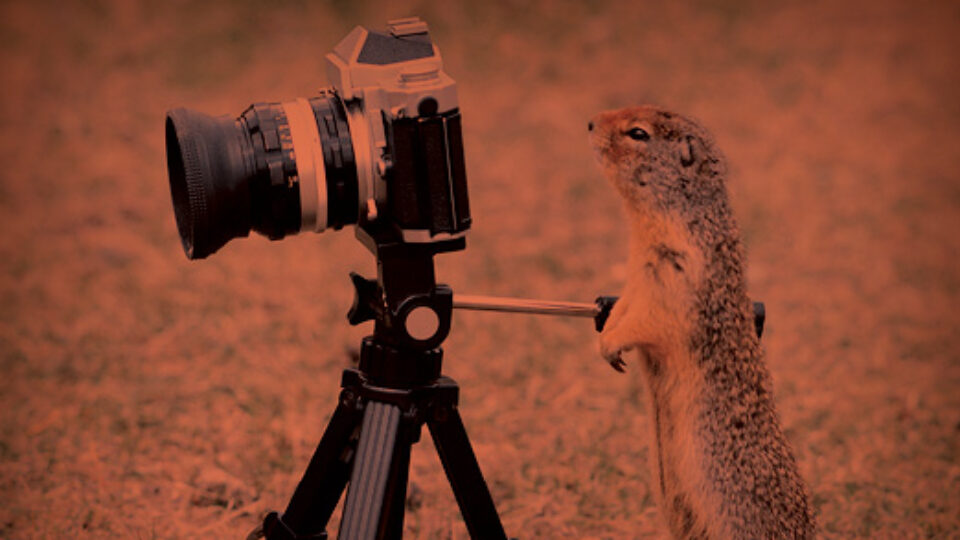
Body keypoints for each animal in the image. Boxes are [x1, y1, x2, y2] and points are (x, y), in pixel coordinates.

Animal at [588, 105, 815, 539]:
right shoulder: (637, 277)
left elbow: (645, 320)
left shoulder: (673, 279)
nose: (590, 123)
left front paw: (610, 345)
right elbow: (623, 306)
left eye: (638, 133)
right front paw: (604, 337)